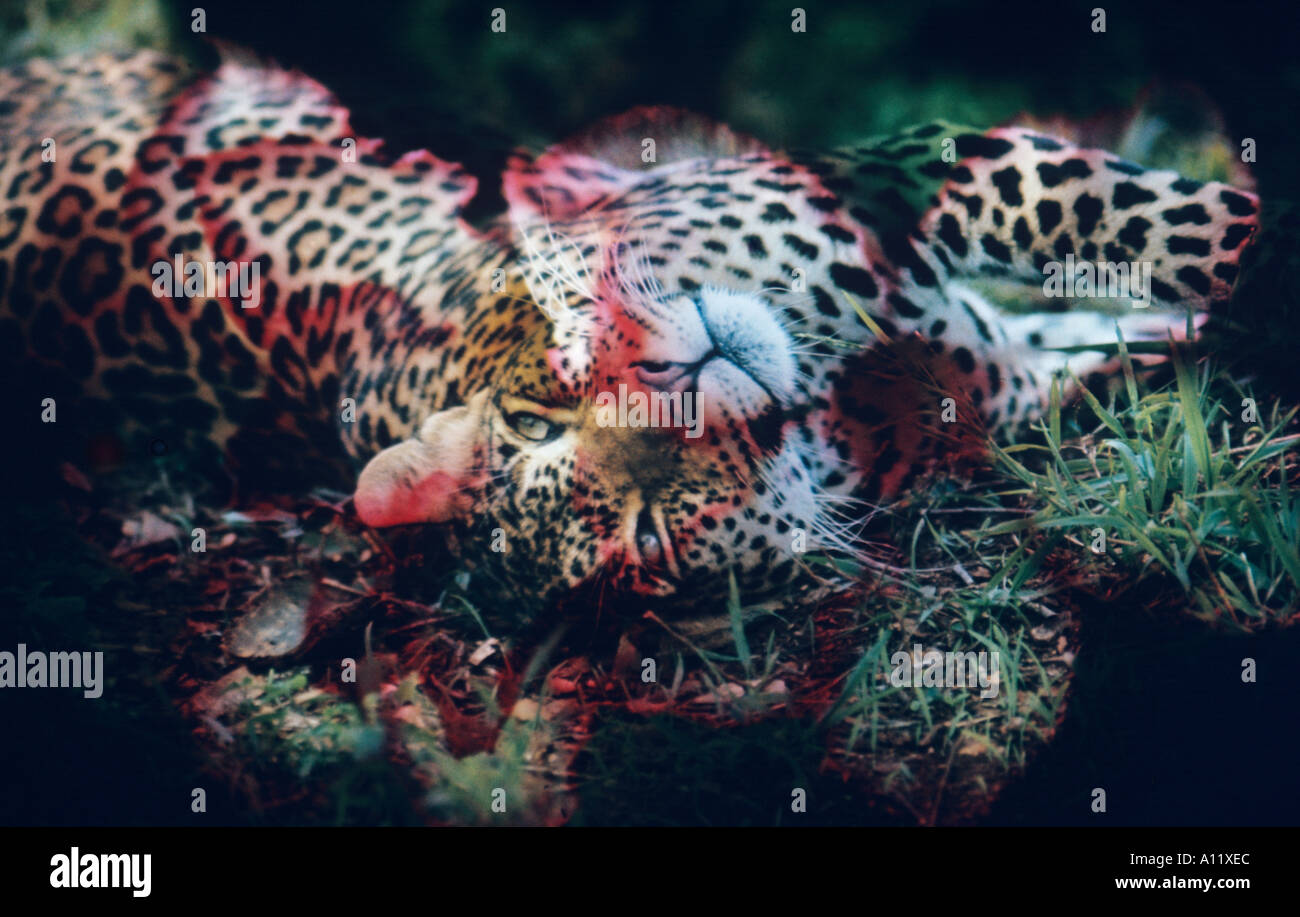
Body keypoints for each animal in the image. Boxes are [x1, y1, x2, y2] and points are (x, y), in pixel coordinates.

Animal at [0, 49, 1261, 612]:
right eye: (647, 531)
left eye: (537, 415)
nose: (686, 389)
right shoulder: (998, 375)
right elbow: (1117, 327)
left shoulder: (903, 177)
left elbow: (1117, 209)